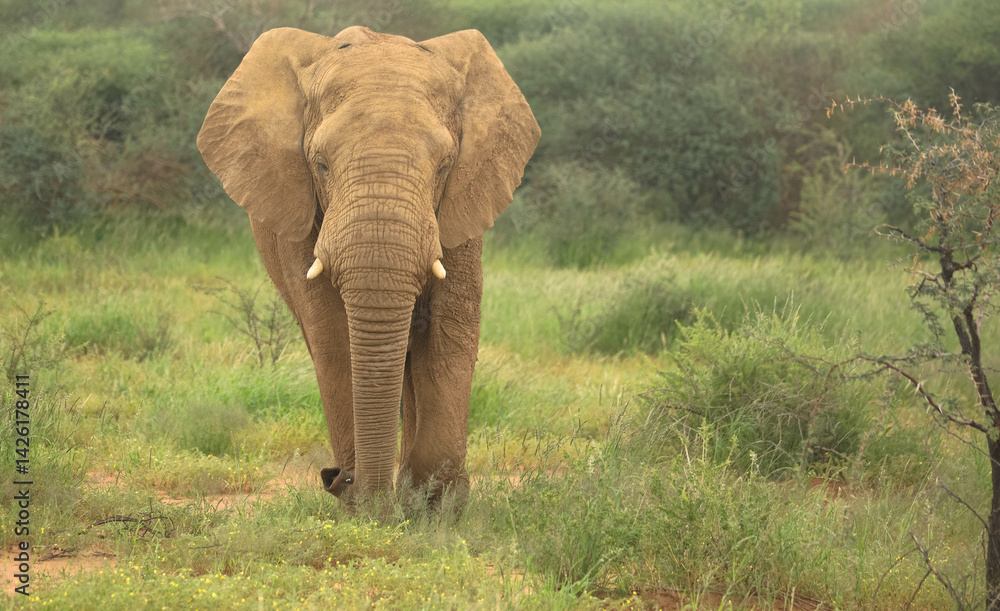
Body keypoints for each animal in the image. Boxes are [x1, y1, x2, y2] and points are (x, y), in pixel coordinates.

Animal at [196, 26, 539, 506]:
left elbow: (450, 331)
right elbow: (333, 335)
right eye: (320, 164)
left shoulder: (463, 209)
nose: (336, 478)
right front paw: (366, 510)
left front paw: (437, 505)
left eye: (444, 166)